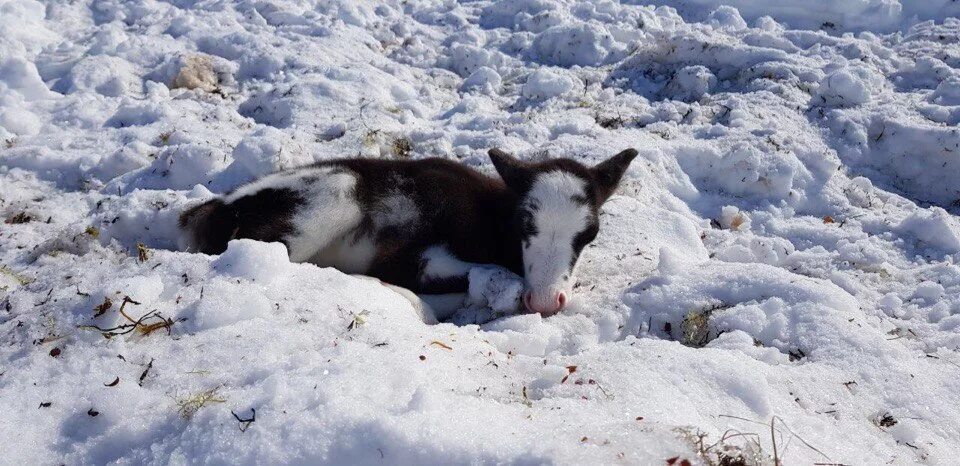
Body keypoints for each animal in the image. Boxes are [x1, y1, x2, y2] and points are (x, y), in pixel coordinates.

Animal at [180, 148, 636, 320]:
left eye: (590, 234)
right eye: (524, 224)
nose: (544, 301)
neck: (491, 219)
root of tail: (213, 208)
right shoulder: (407, 257)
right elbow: (490, 278)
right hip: (336, 193)